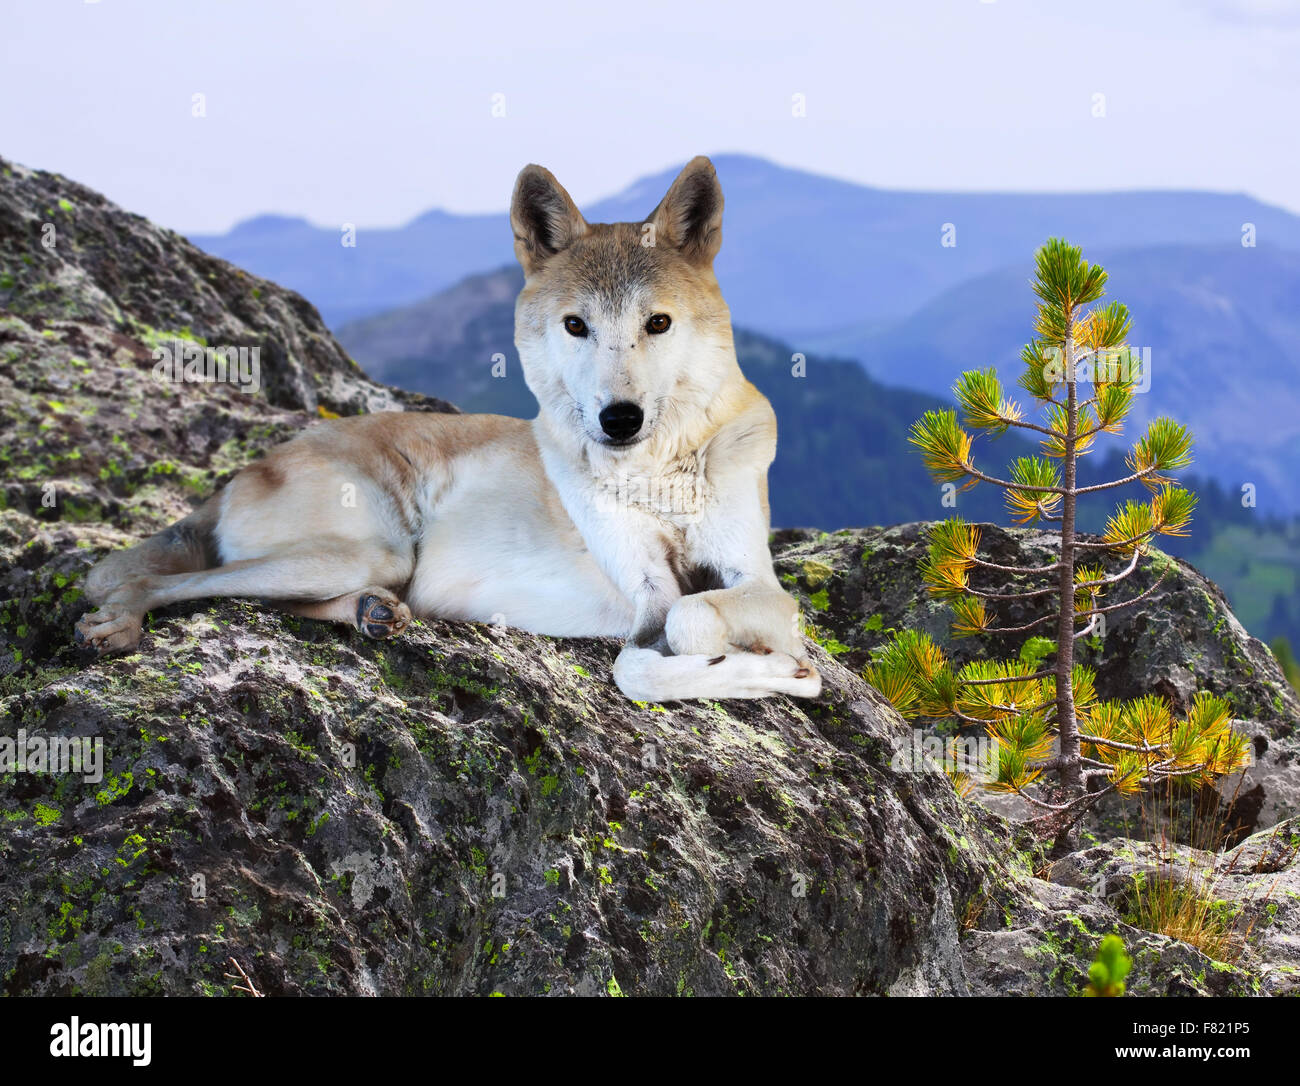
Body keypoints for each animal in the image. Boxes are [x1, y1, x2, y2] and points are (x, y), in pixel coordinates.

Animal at [75, 157, 822, 701]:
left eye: (657, 323)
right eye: (575, 325)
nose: (619, 419)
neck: (658, 477)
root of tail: (239, 475)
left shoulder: (755, 578)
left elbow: (696, 616)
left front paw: (773, 666)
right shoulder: (647, 597)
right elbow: (646, 655)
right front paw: (772, 671)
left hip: (366, 565)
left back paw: (373, 615)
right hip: (364, 552)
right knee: (159, 584)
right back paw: (119, 622)